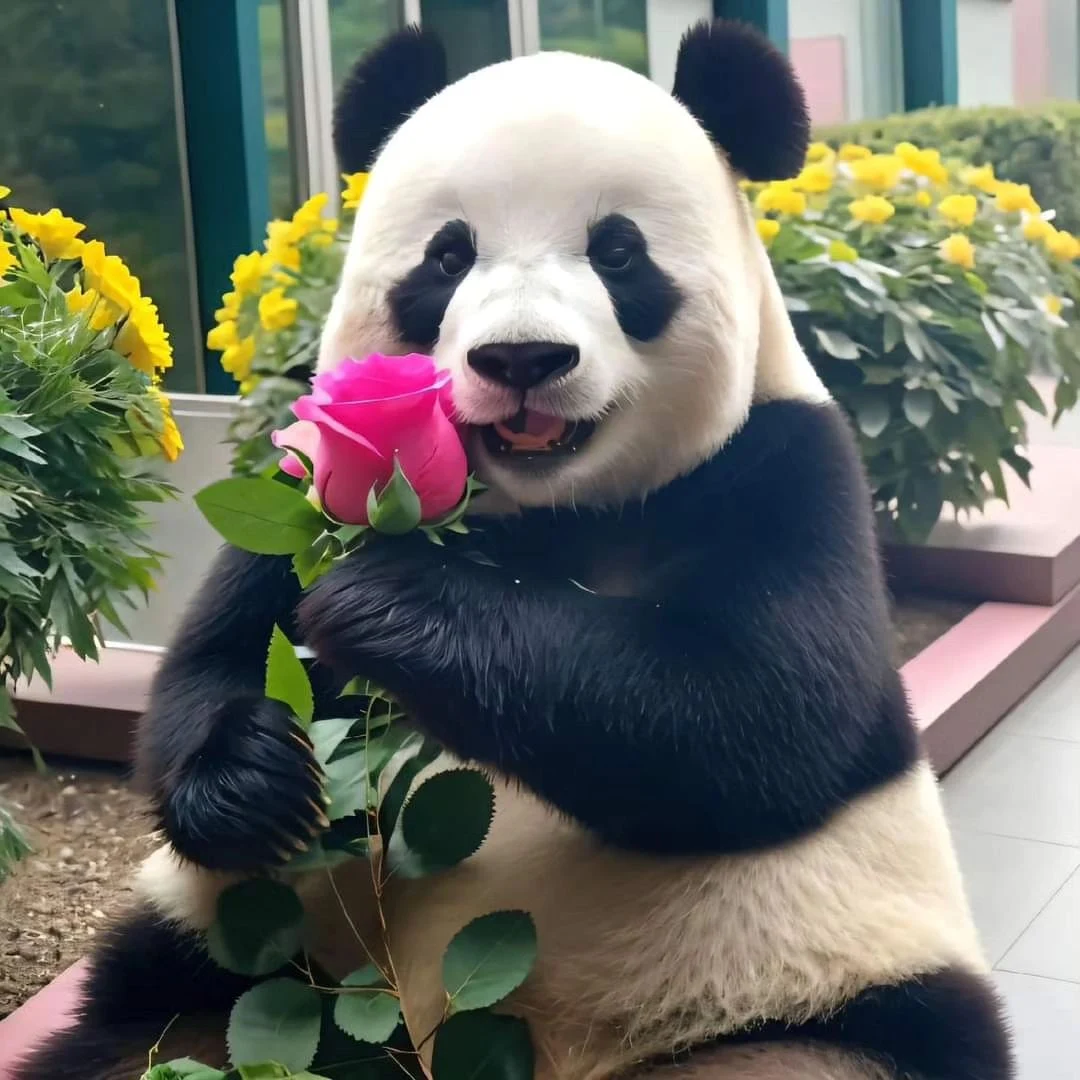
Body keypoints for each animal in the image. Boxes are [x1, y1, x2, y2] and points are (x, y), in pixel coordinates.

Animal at [15, 20, 1013, 1080]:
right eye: (448, 257)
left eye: (618, 252)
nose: (523, 358)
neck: (551, 511)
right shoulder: (309, 487)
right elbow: (216, 659)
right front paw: (256, 778)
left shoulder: (783, 467)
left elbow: (755, 711)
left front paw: (389, 604)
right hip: (249, 968)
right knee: (149, 1036)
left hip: (808, 999)